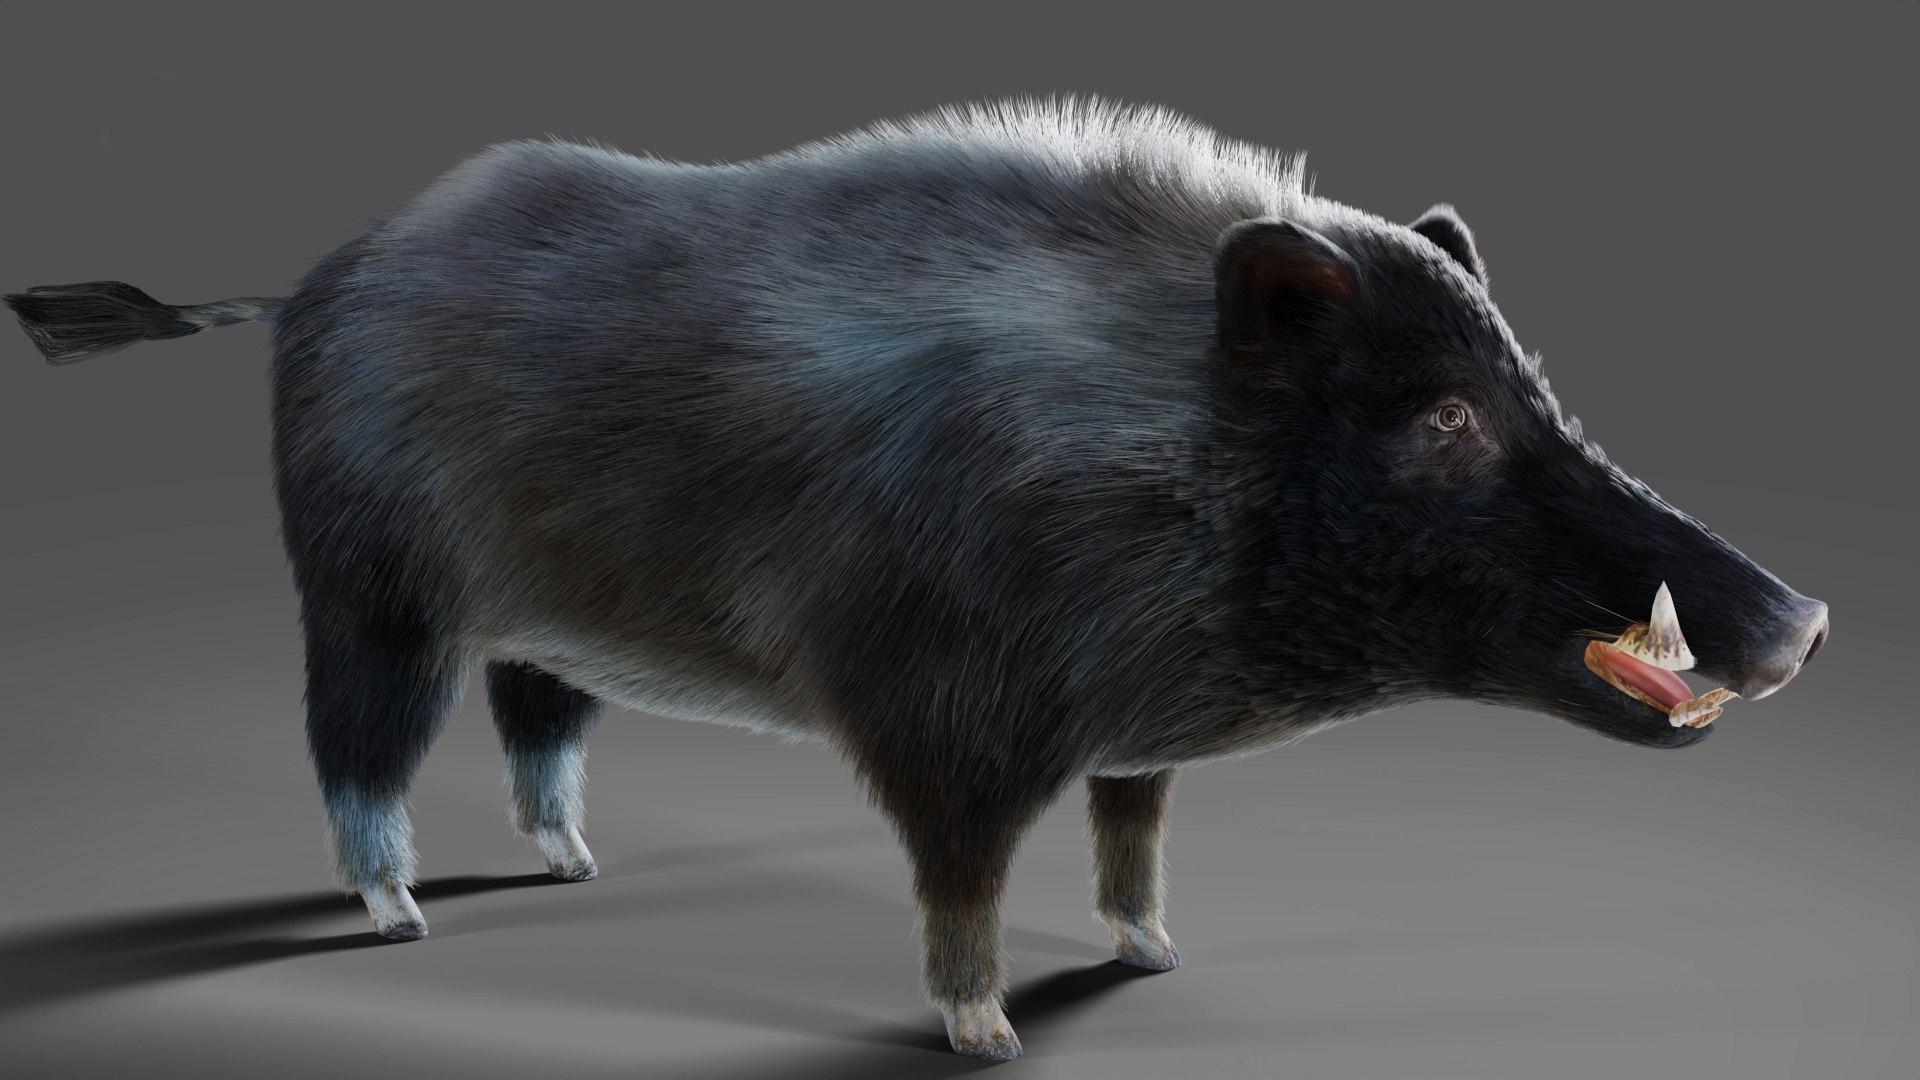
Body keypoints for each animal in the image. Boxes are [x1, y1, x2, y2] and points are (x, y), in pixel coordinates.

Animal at [5, 96, 1829, 1061]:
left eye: (1528, 380)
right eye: (1443, 415)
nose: (1806, 618)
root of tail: (315, 276)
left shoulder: (1127, 740)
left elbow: (1133, 840)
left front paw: (1156, 962)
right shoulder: (940, 718)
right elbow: (961, 884)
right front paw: (989, 1038)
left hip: (538, 622)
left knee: (536, 723)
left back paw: (577, 870)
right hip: (365, 589)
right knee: (355, 748)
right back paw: (394, 916)